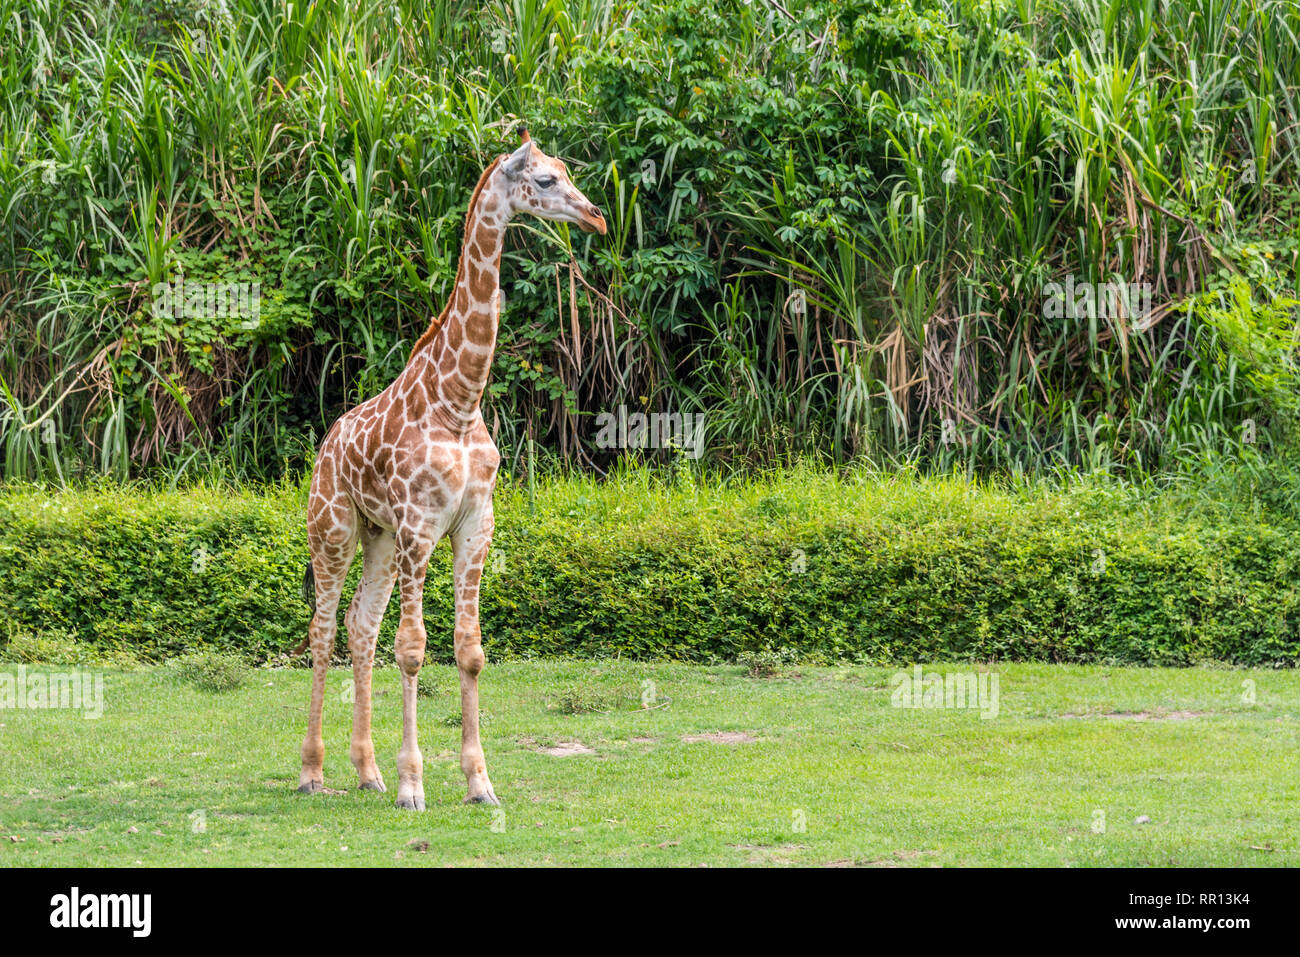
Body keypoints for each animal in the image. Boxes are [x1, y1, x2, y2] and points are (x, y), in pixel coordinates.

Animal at [297, 129, 606, 809]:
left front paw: (479, 782)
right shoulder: (420, 525)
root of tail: (326, 445)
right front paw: (413, 786)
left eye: (565, 169)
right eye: (545, 180)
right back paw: (313, 772)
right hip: (334, 529)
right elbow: (413, 650)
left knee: (359, 627)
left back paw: (367, 771)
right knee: (324, 629)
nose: (596, 216)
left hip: (379, 539)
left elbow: (469, 651)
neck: (458, 401)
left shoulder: (474, 525)